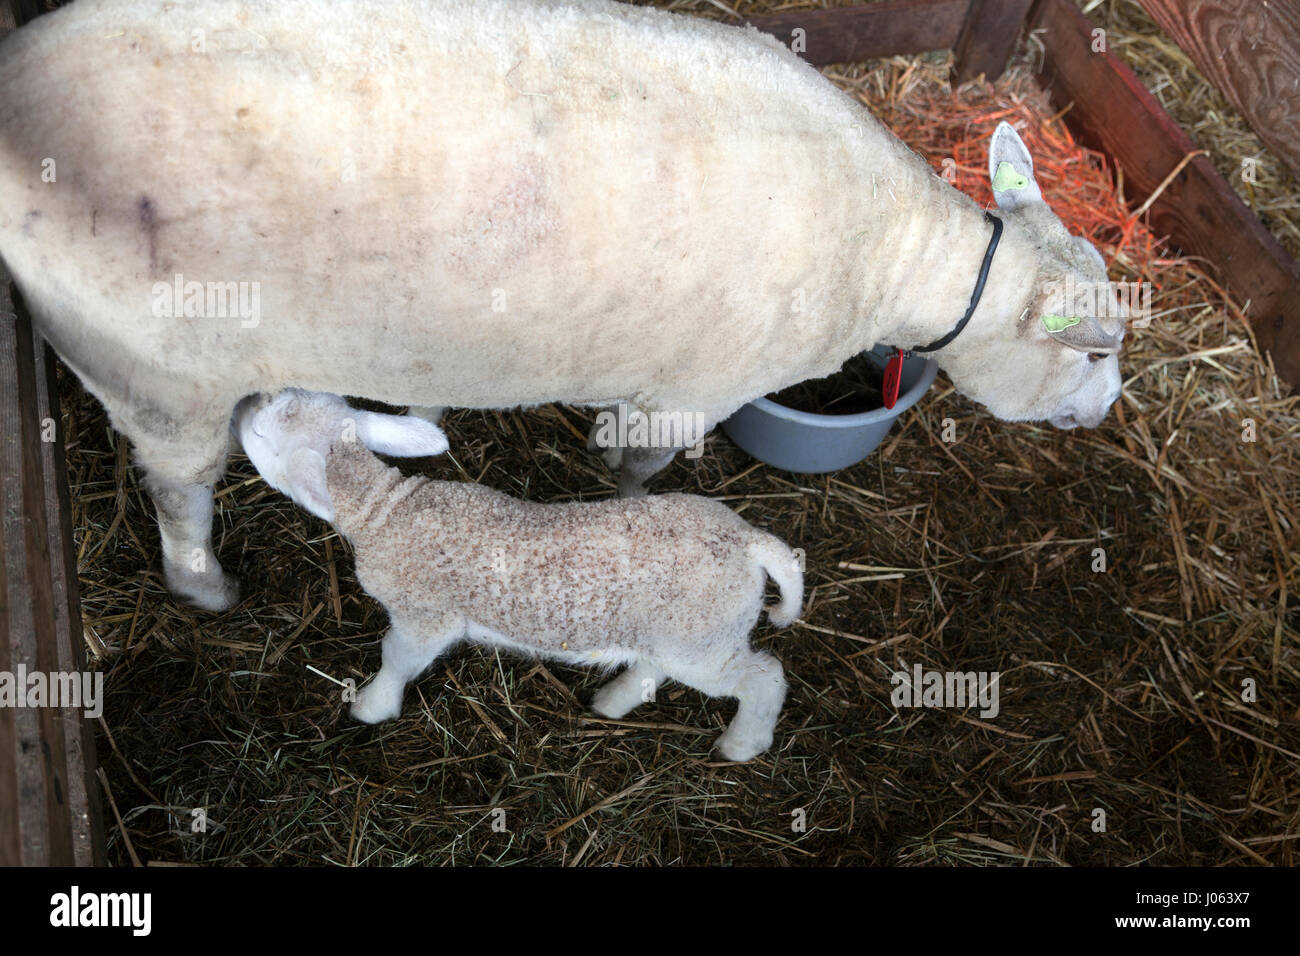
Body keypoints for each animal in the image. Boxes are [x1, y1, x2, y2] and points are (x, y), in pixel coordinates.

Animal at [0, 0, 1125, 611]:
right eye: (1093, 351)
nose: (1110, 407)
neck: (892, 253)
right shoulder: (693, 390)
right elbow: (634, 467)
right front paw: (630, 508)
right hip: (156, 369)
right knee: (179, 490)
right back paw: (204, 584)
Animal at [234, 388, 804, 762]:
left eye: (262, 433)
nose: (240, 407)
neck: (388, 509)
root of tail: (751, 541)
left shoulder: (425, 617)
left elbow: (396, 659)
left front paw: (372, 707)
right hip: (681, 632)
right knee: (655, 665)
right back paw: (613, 700)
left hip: (702, 639)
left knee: (765, 677)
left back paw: (741, 745)